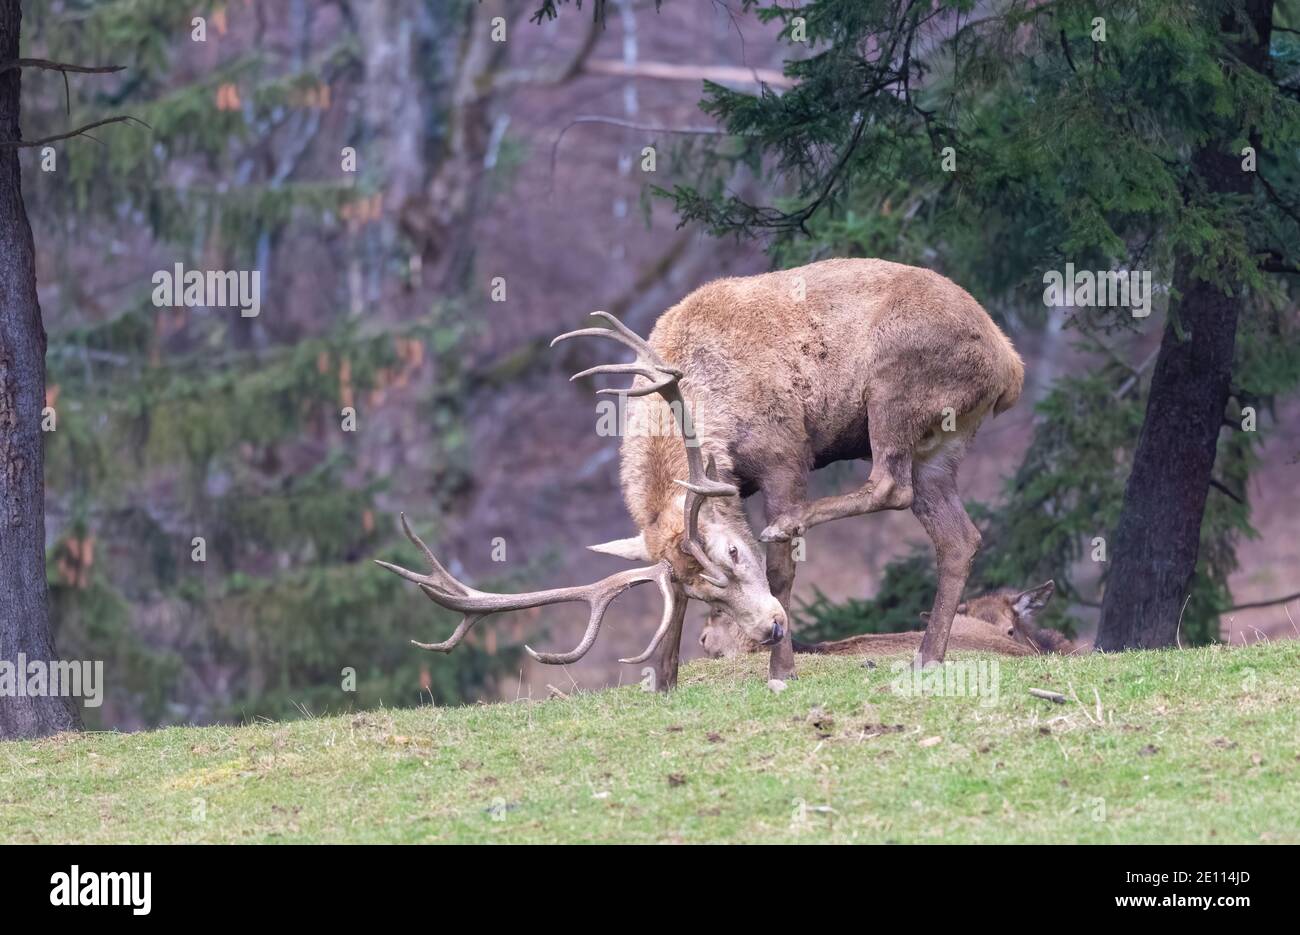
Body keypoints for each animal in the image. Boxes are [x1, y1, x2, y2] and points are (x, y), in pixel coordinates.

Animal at [377, 258, 1025, 690]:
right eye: (697, 587)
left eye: (734, 556)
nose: (771, 631)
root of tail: (1011, 364)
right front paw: (662, 679)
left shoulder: (784, 452)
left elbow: (783, 568)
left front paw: (781, 671)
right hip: (944, 442)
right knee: (959, 537)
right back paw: (928, 656)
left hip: (895, 390)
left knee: (889, 482)